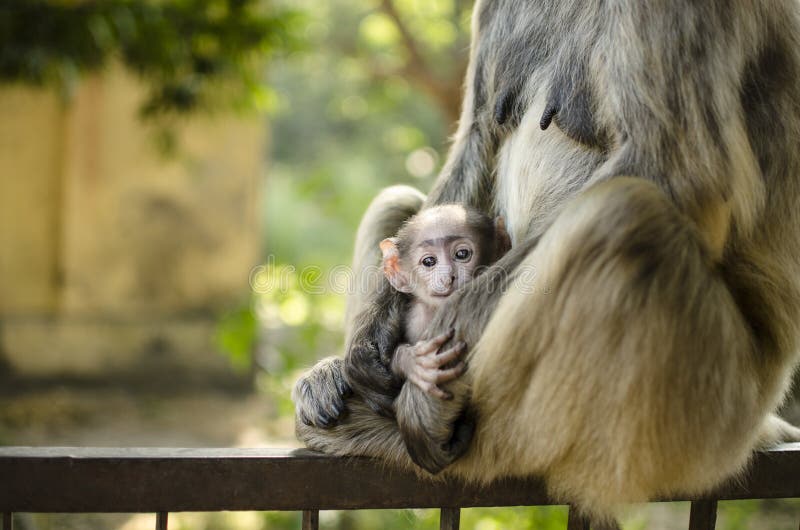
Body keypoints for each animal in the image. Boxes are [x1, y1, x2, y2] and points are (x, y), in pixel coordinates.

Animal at [292, 0, 800, 519]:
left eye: (462, 257)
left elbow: (678, 173)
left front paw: (421, 397)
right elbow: (479, 137)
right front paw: (366, 348)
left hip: (707, 413)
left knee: (622, 216)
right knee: (398, 202)